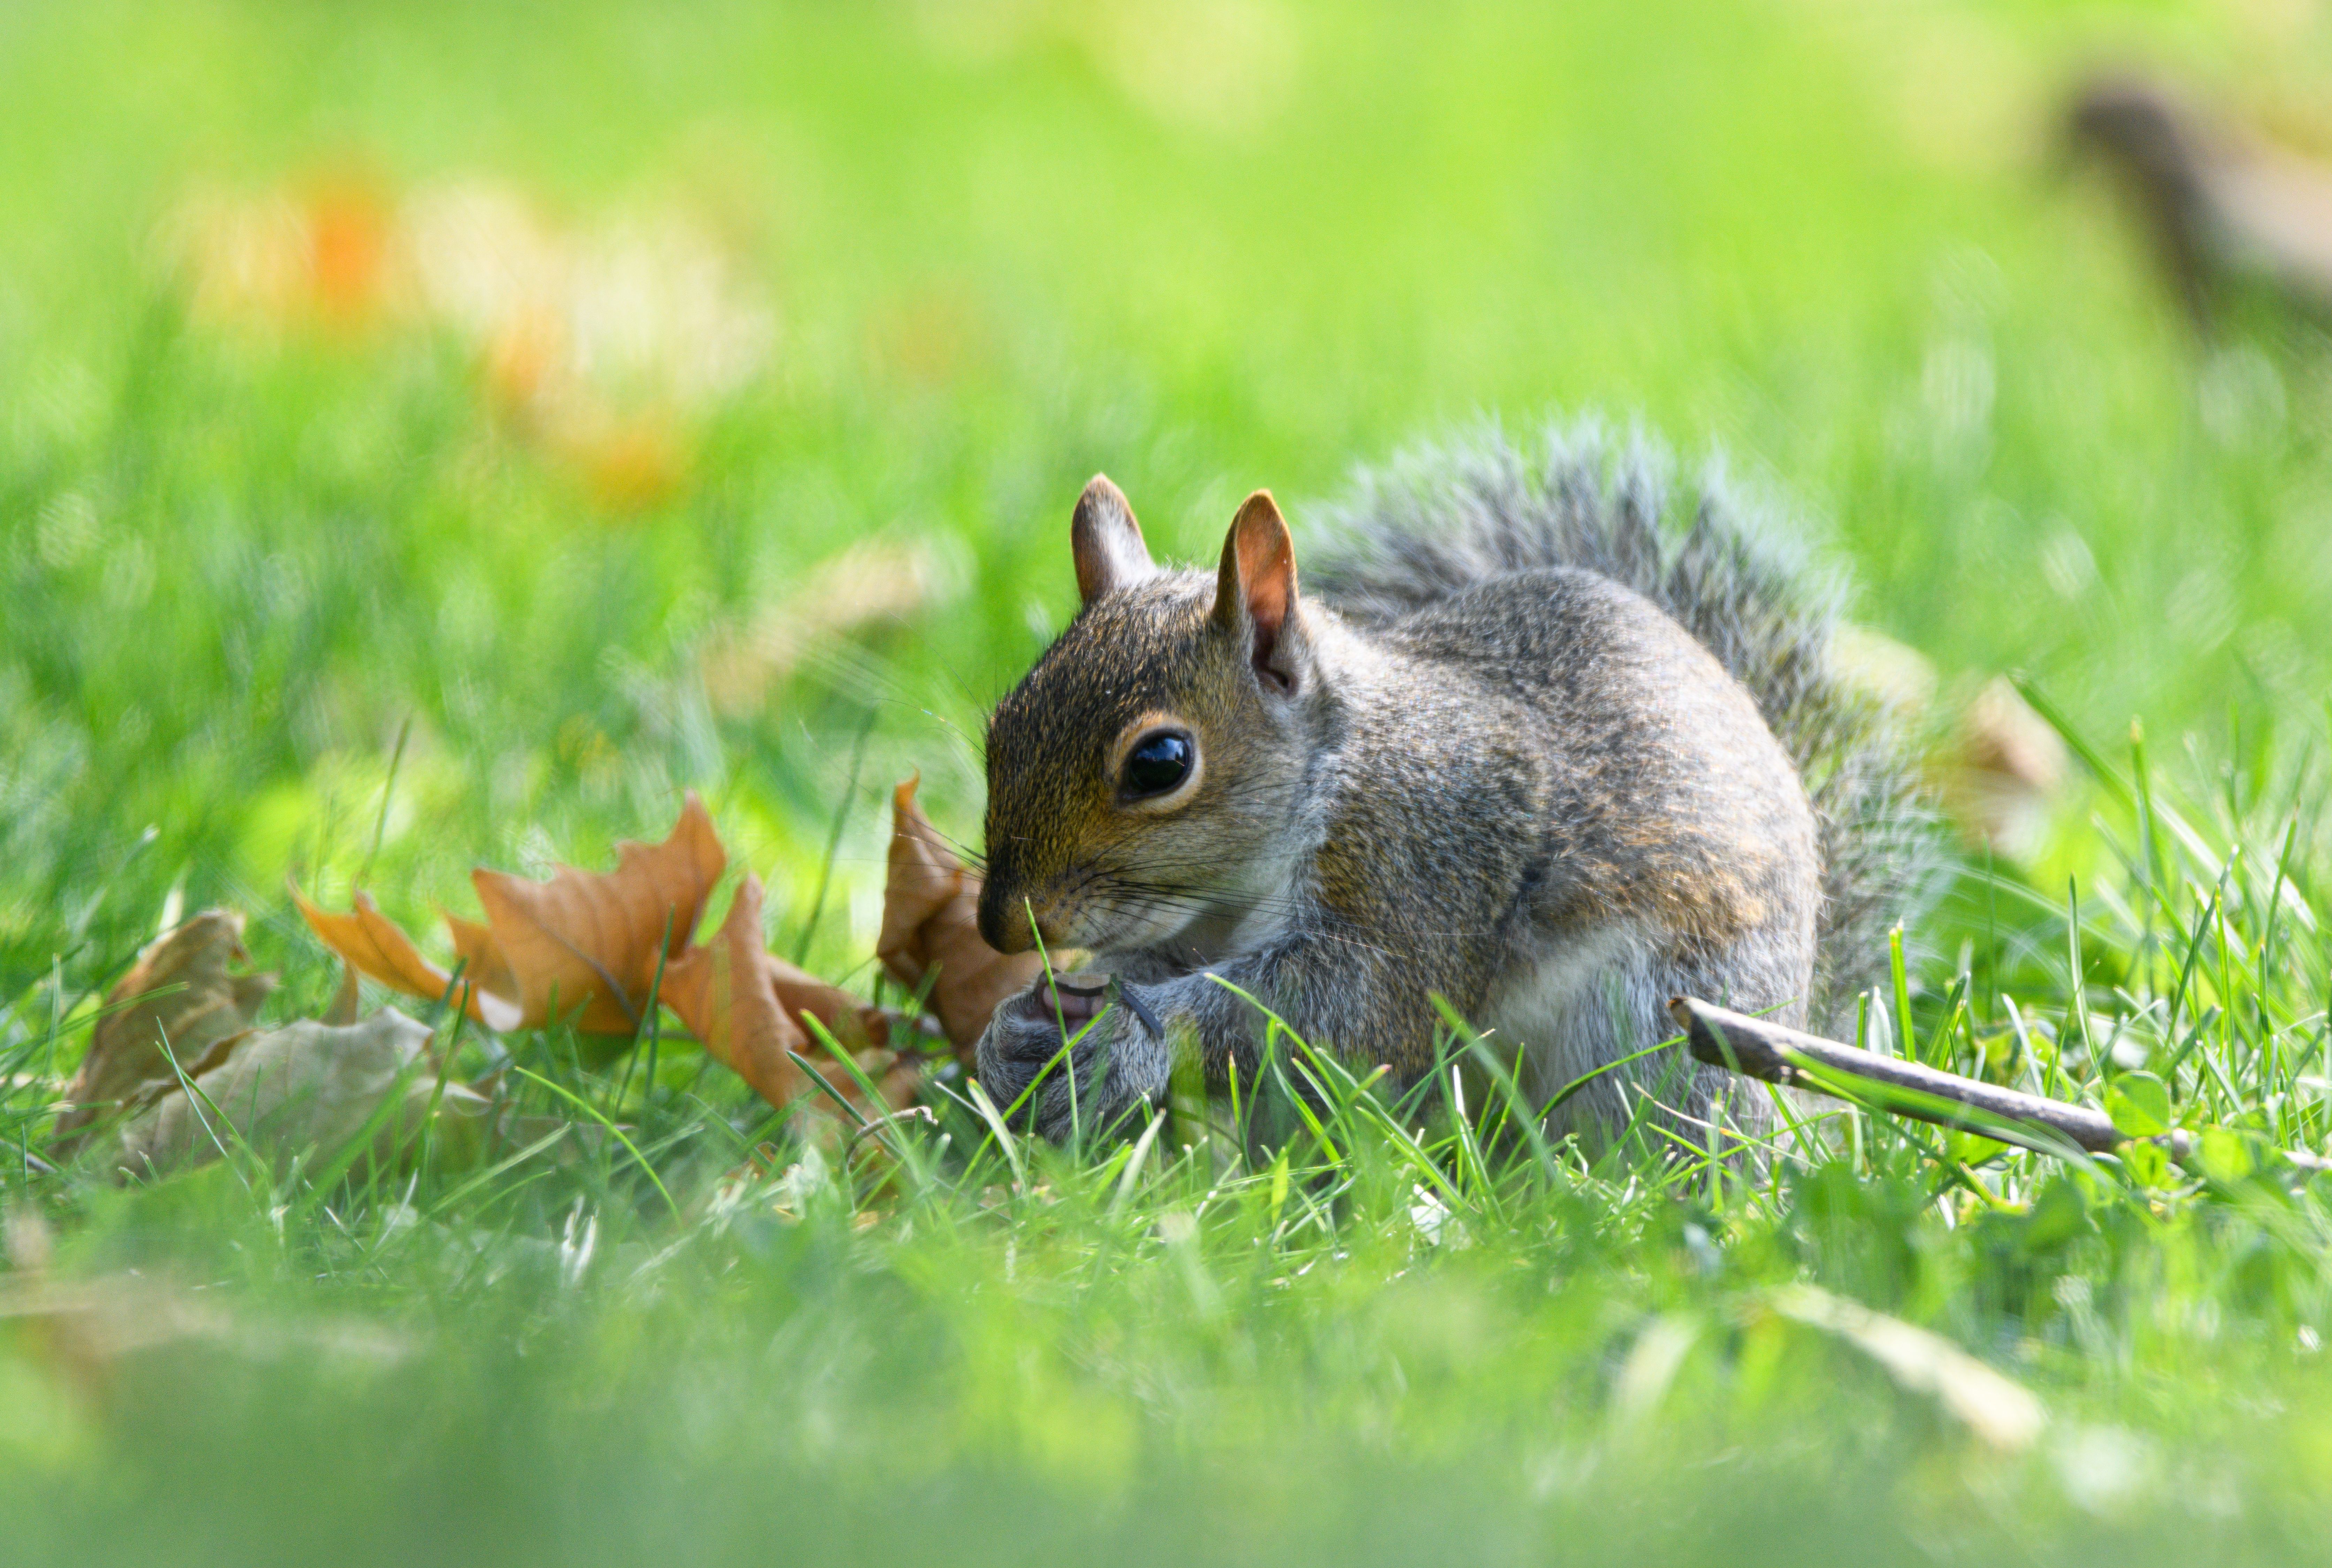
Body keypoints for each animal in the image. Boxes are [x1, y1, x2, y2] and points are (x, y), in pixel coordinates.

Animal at [973, 419, 1944, 1152]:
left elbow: (1336, 1009)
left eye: (1160, 762)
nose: (999, 926)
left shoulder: (1427, 863)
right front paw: (1013, 1033)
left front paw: (1120, 1045)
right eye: (1001, 725)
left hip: (1663, 1033)